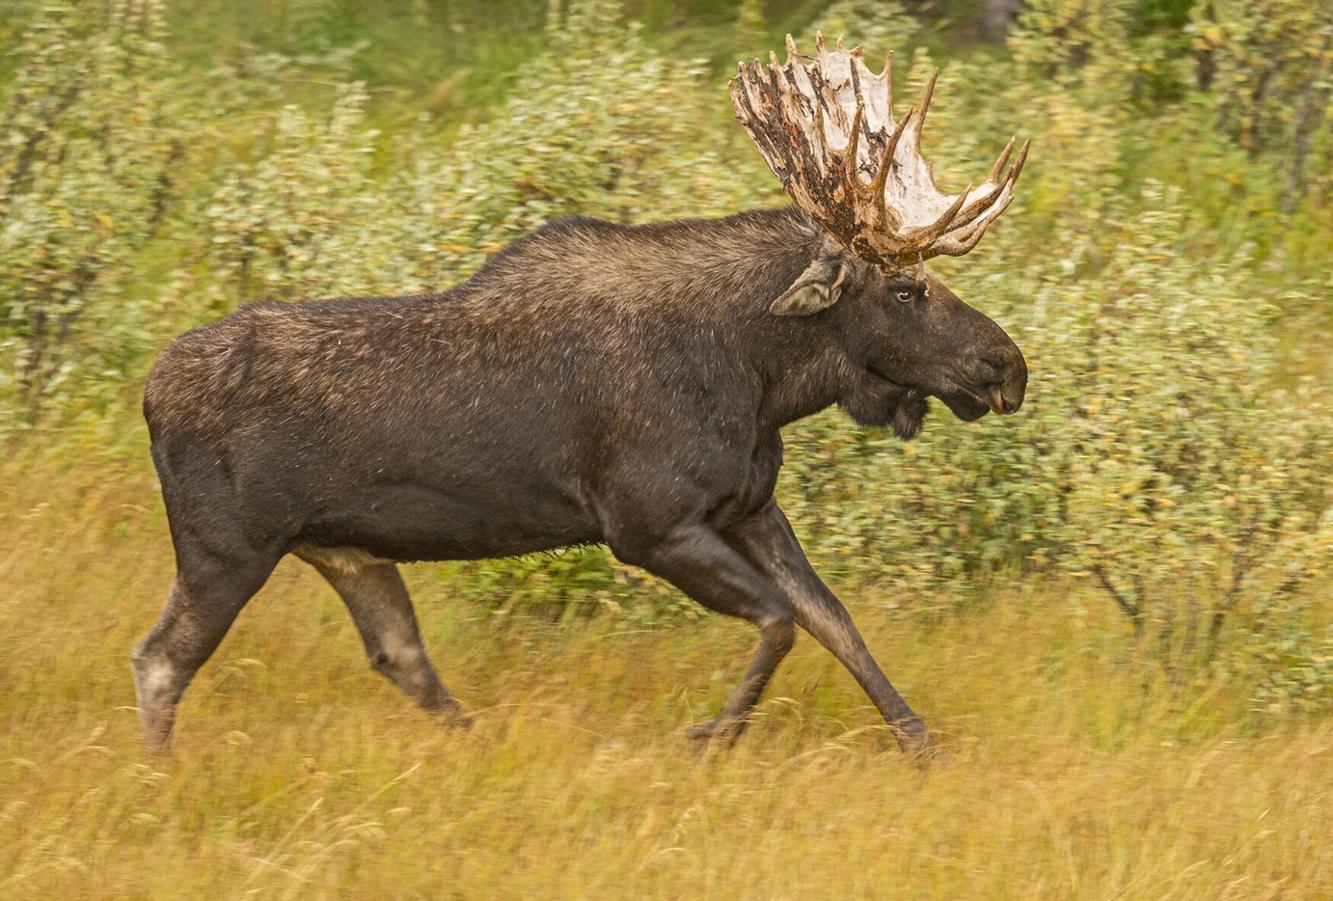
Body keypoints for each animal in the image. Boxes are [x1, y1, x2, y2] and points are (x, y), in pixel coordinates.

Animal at [133, 35, 1030, 755]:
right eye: (905, 289)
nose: (1006, 367)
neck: (761, 378)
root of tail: (149, 389)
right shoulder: (648, 525)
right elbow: (780, 621)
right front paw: (711, 733)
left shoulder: (750, 506)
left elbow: (834, 620)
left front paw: (917, 740)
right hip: (226, 548)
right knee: (160, 659)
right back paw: (159, 775)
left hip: (343, 548)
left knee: (399, 653)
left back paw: (478, 745)